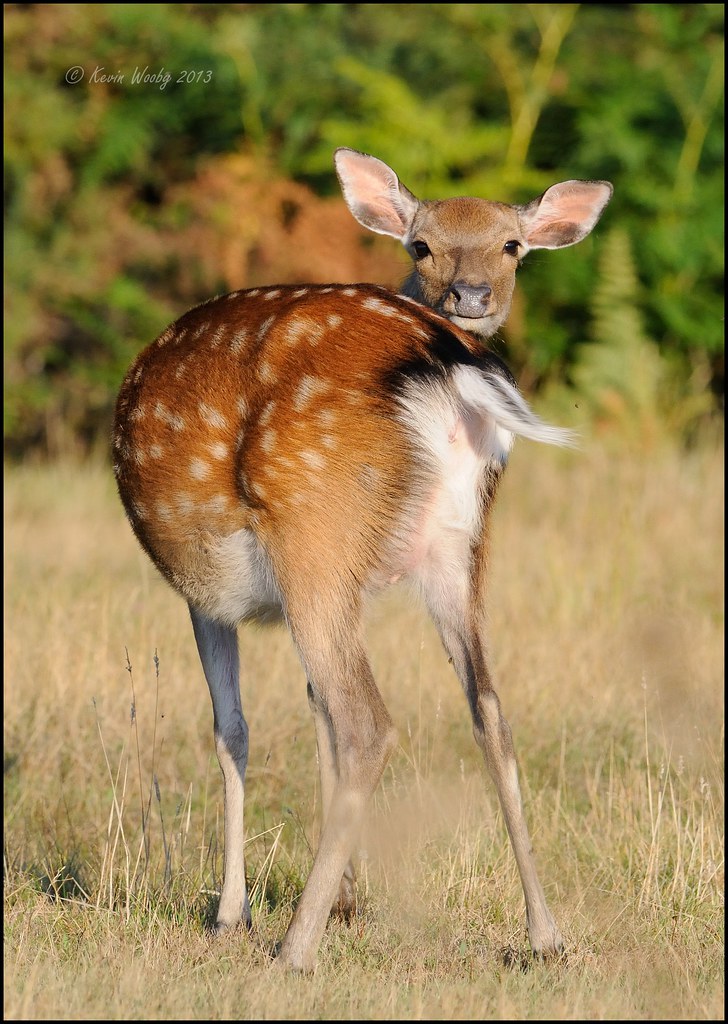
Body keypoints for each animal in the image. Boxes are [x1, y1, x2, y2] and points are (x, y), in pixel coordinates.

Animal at [113, 147, 612, 972]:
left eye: (514, 245)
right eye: (422, 244)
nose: (470, 295)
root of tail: (447, 360)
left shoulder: (205, 594)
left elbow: (232, 730)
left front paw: (231, 914)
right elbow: (310, 711)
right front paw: (352, 900)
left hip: (312, 525)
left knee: (368, 723)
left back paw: (293, 948)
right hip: (458, 548)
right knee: (490, 711)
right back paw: (545, 935)